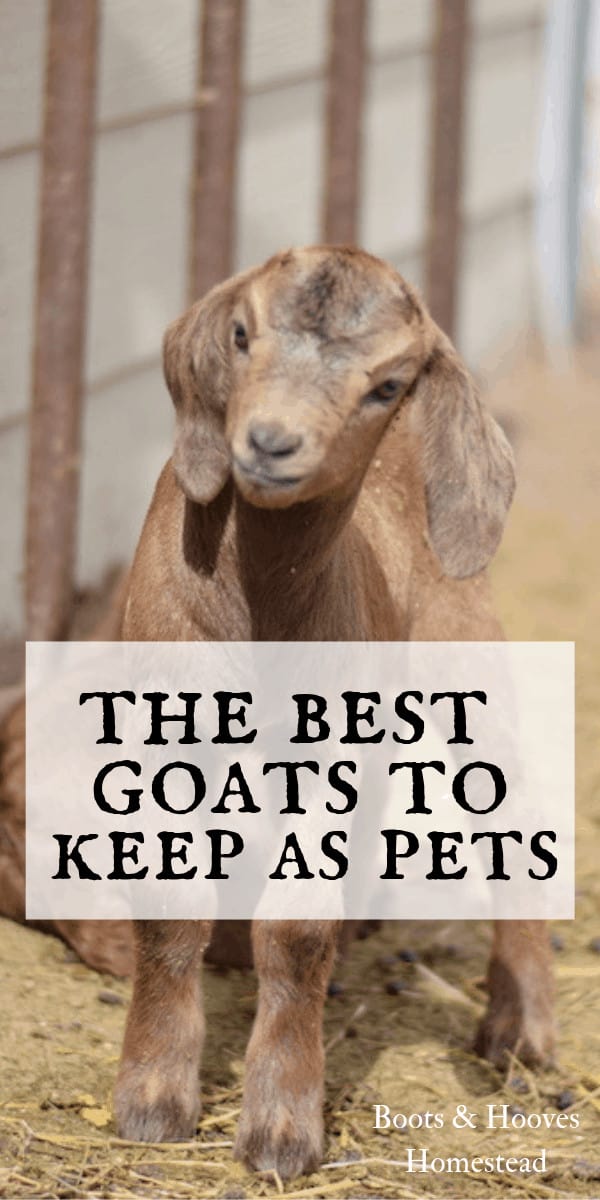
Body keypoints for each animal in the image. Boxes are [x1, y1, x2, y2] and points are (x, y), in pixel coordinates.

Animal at [111, 245, 554, 1179]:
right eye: (242, 334)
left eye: (385, 384)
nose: (271, 442)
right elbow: (168, 909)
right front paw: (152, 1102)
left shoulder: (324, 765)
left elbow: (297, 929)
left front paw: (281, 1130)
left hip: (465, 645)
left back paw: (521, 1029)